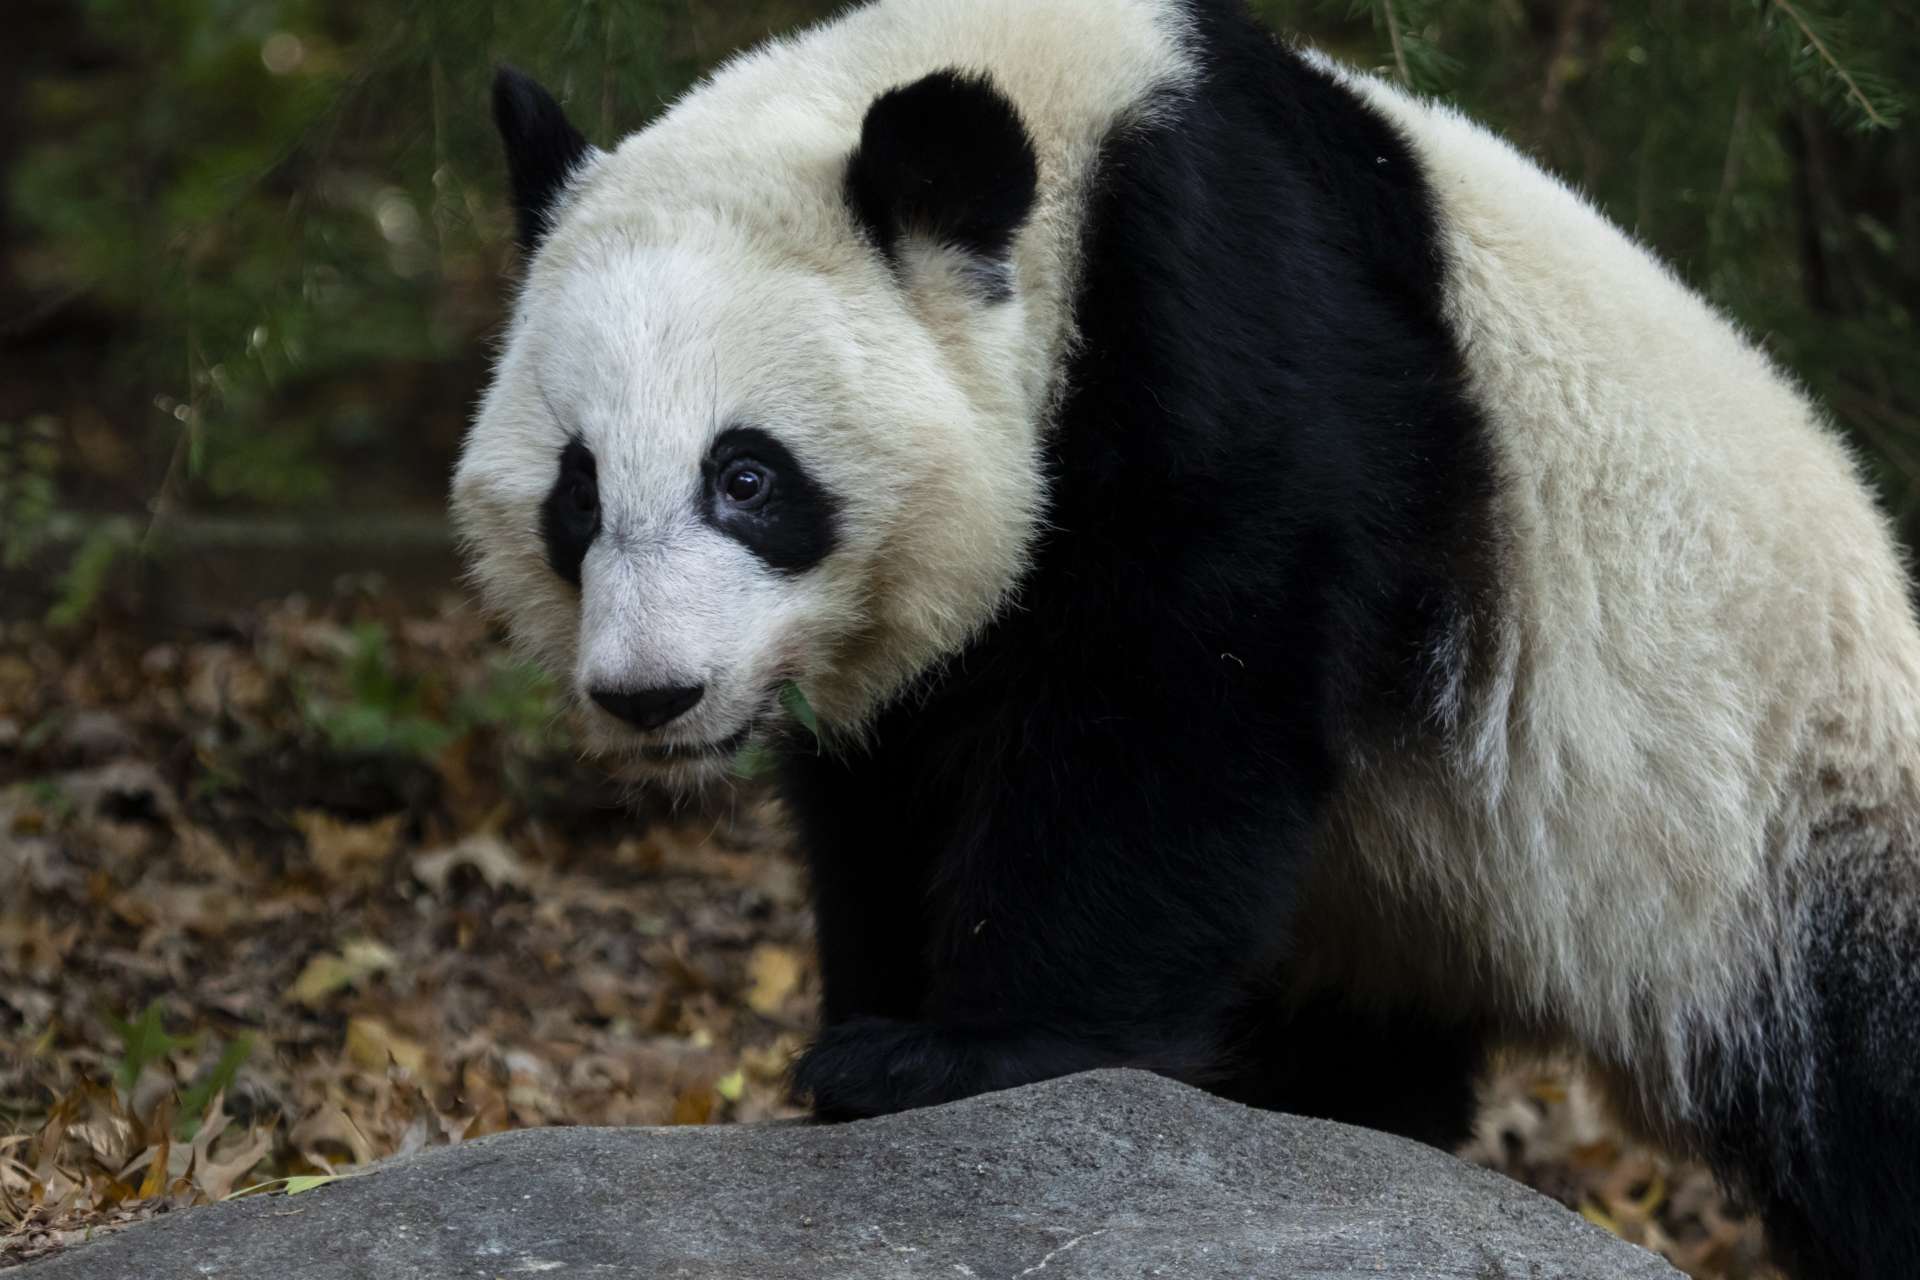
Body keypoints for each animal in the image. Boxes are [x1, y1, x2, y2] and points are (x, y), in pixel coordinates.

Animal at [451, 0, 1920, 1274]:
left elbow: (1179, 696)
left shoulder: (1232, 312)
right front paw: (875, 1024)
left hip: (1797, 813)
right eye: (576, 492)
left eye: (747, 477)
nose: (651, 694)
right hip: (1409, 886)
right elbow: (894, 789)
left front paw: (958, 1053)